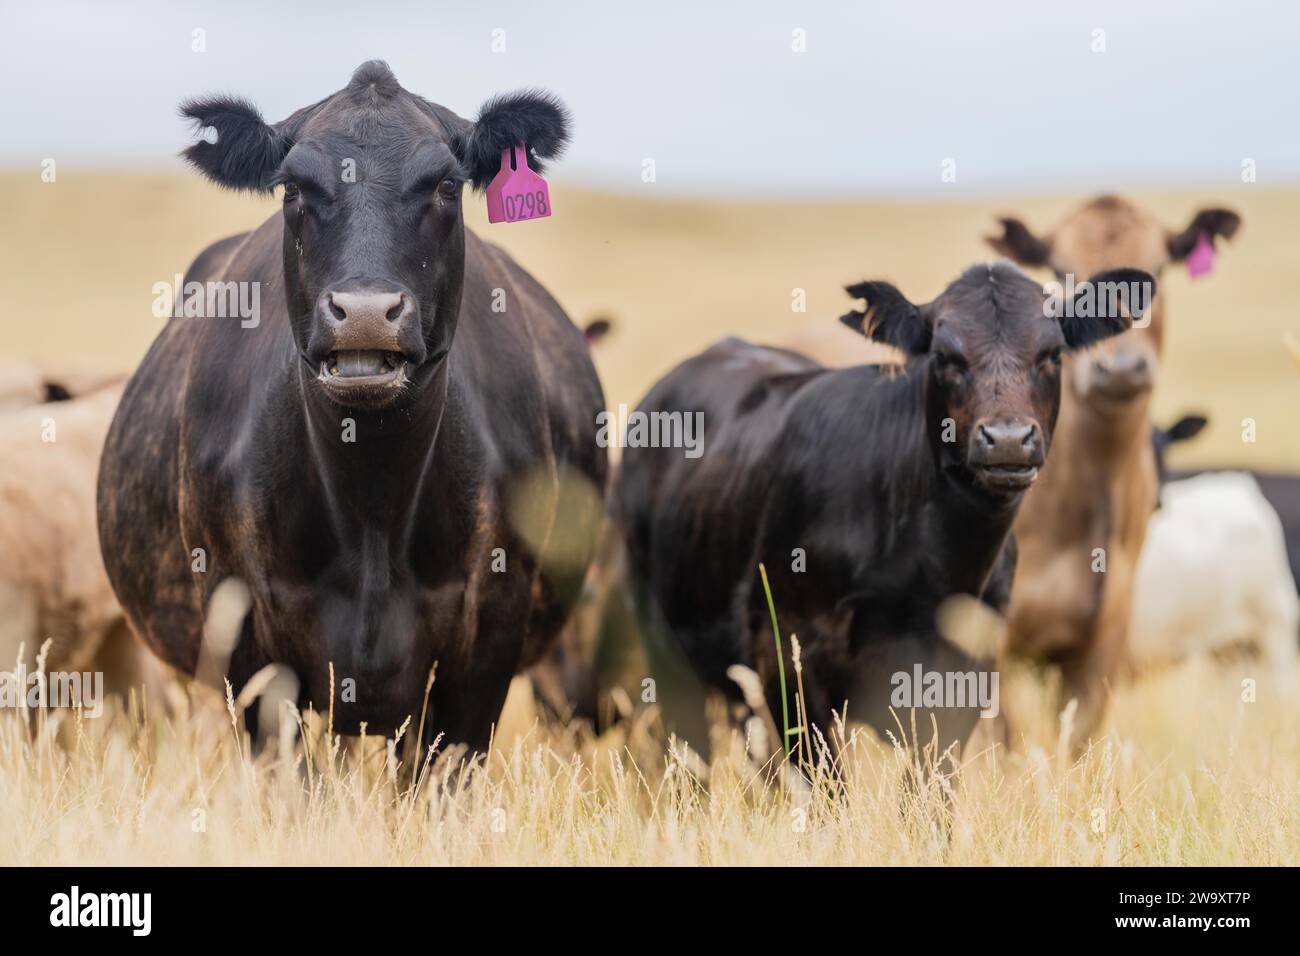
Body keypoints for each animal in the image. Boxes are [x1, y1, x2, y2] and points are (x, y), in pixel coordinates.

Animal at [97, 61, 607, 750]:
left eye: (447, 185)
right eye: (292, 187)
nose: (365, 311)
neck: (371, 509)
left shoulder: (488, 645)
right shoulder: (243, 637)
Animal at [616, 262, 1147, 761]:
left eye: (1053, 354)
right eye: (943, 356)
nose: (1009, 440)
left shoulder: (961, 684)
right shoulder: (786, 664)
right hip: (667, 652)